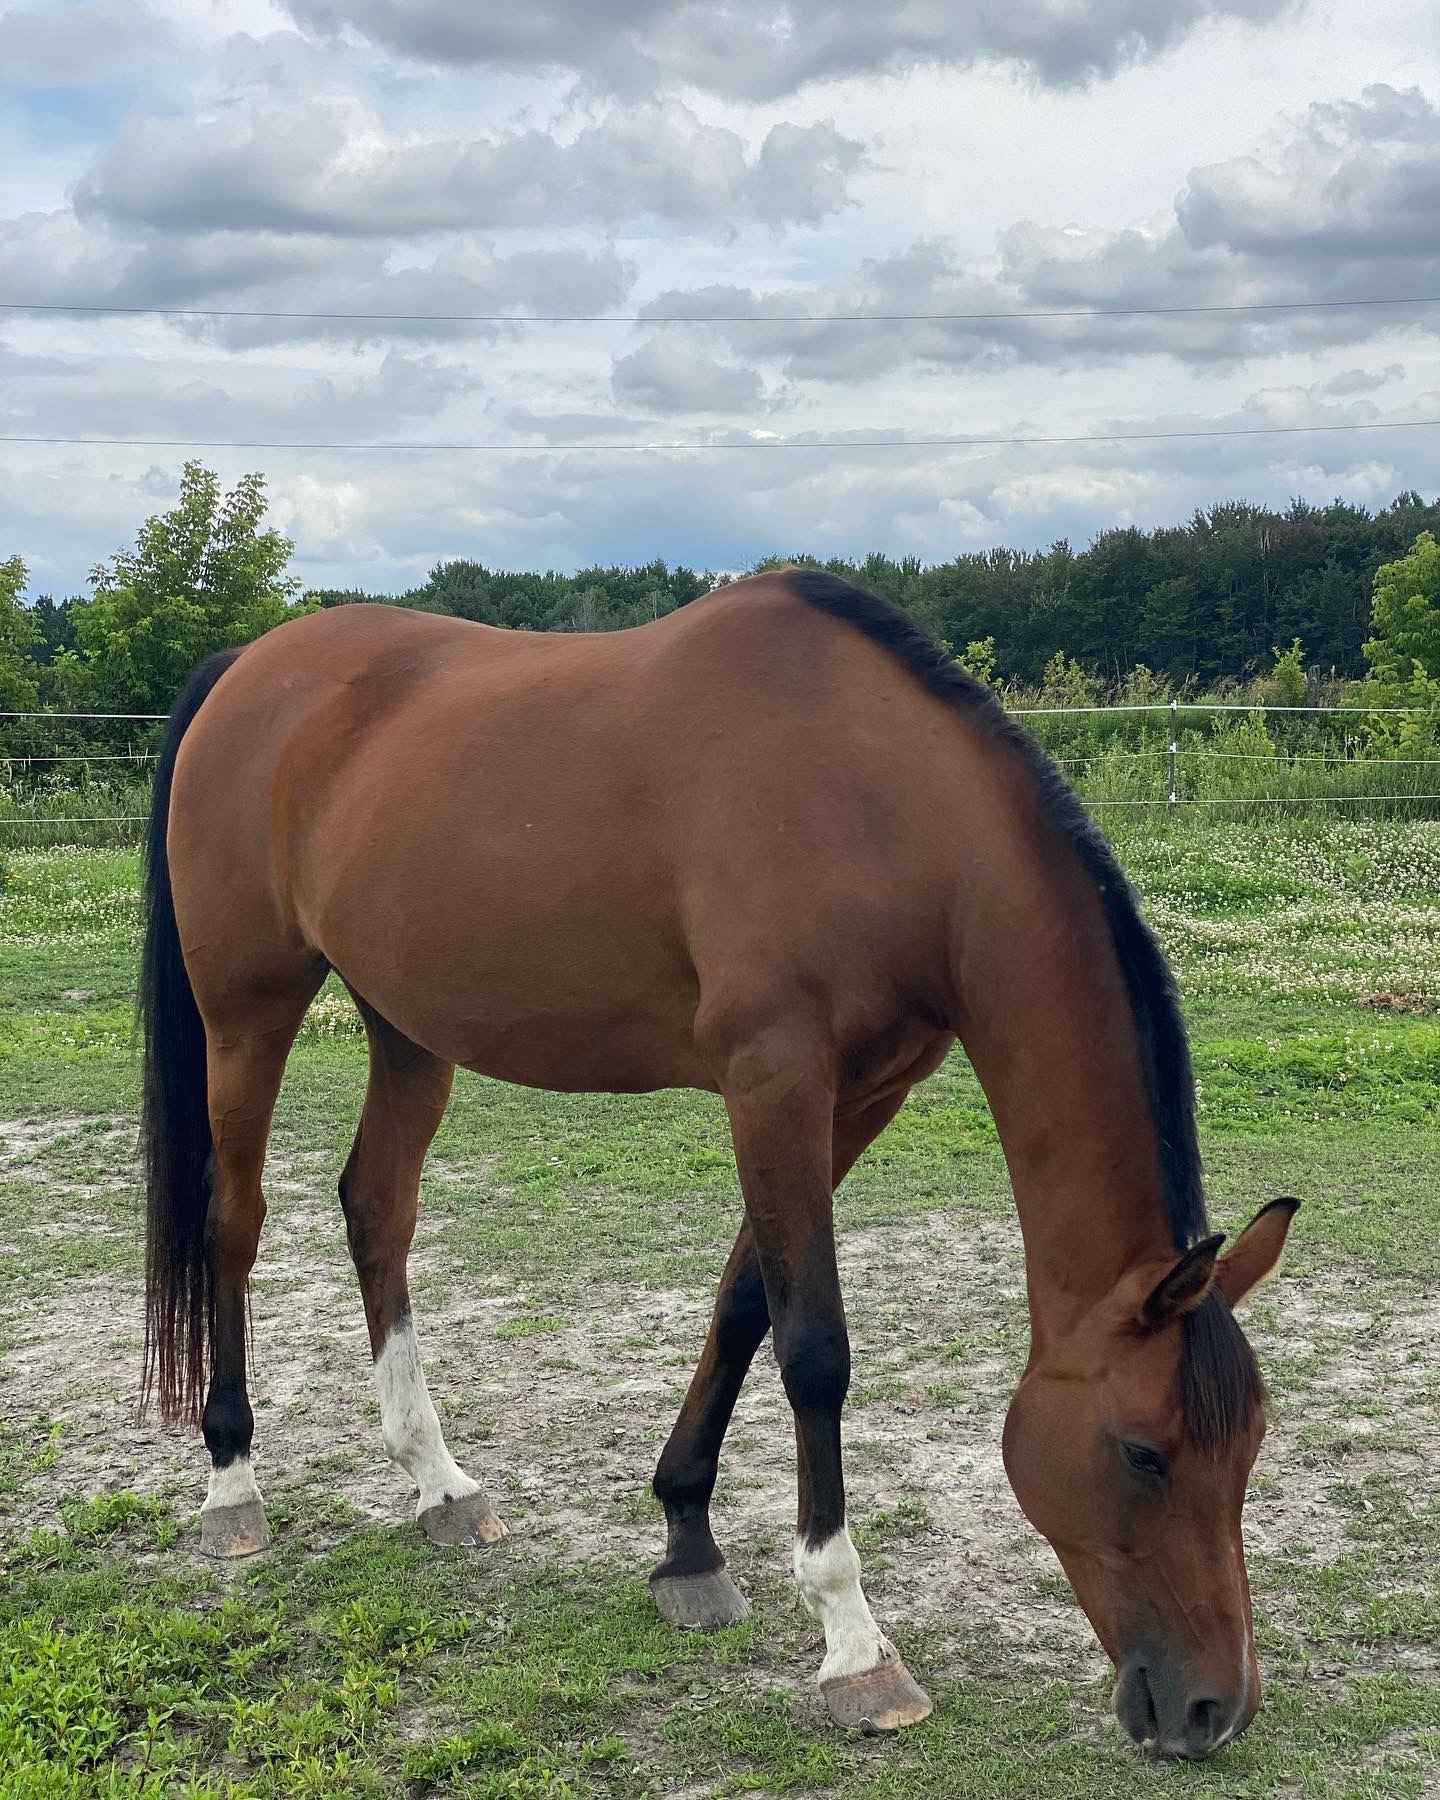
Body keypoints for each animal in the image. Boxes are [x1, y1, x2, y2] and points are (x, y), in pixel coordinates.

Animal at [138, 568, 1296, 1757]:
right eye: (1144, 1453)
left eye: (1251, 1445)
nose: (1213, 1709)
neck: (886, 812)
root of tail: (247, 667)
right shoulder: (775, 1083)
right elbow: (814, 1349)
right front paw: (854, 1646)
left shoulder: (859, 1097)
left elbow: (744, 1303)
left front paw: (687, 1539)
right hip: (248, 1010)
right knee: (235, 1220)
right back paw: (232, 1482)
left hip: (405, 1024)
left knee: (377, 1207)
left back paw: (438, 1482)